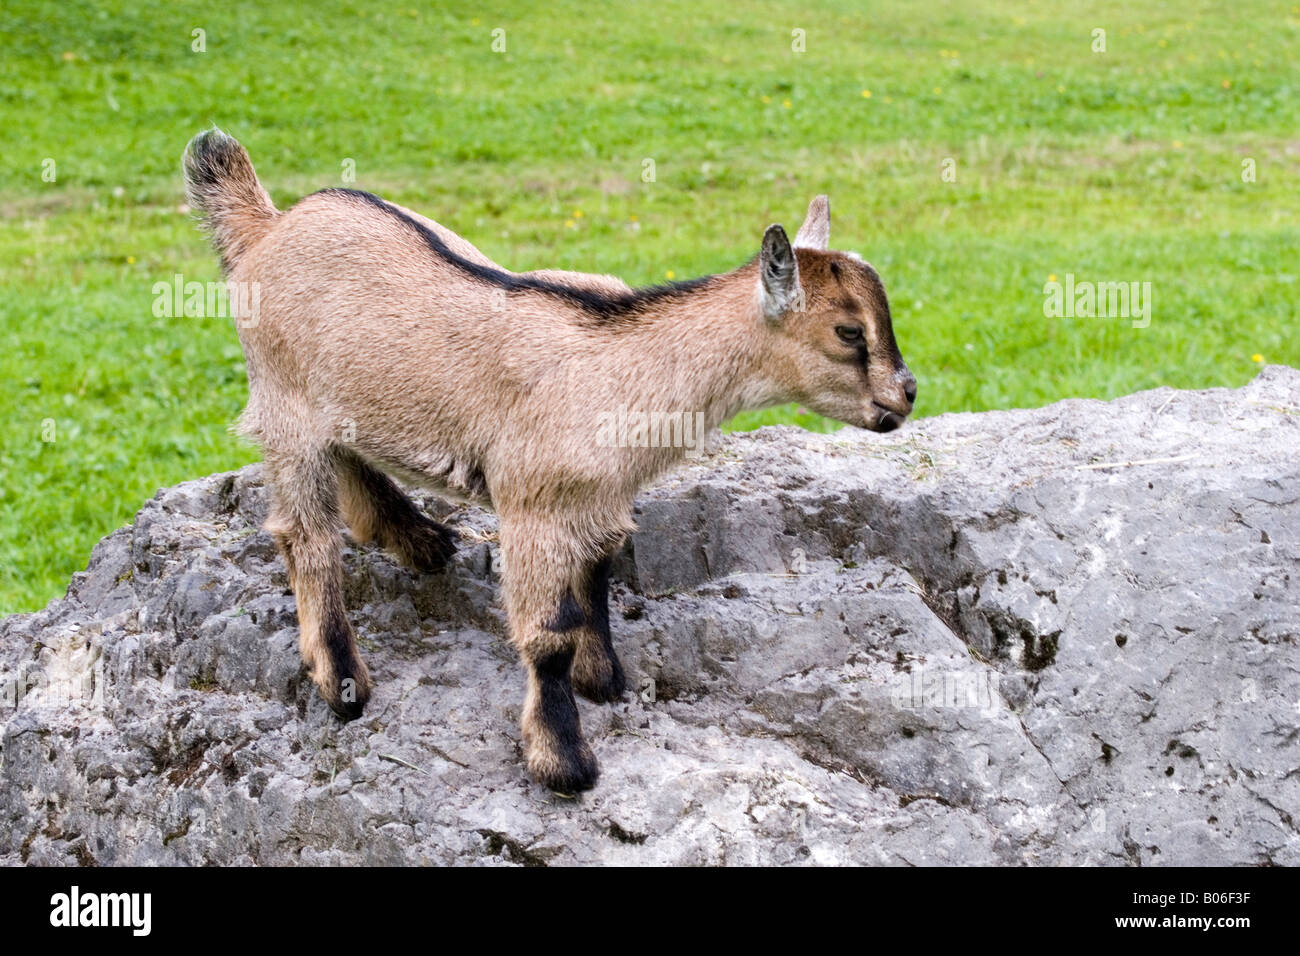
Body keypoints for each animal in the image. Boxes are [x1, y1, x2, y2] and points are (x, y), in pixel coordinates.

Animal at [182, 129, 916, 792]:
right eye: (849, 331)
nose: (905, 395)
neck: (625, 363)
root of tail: (267, 227)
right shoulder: (531, 503)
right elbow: (549, 635)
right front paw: (562, 759)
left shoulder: (598, 499)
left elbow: (594, 578)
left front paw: (603, 677)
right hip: (286, 403)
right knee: (307, 536)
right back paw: (342, 680)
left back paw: (421, 540)